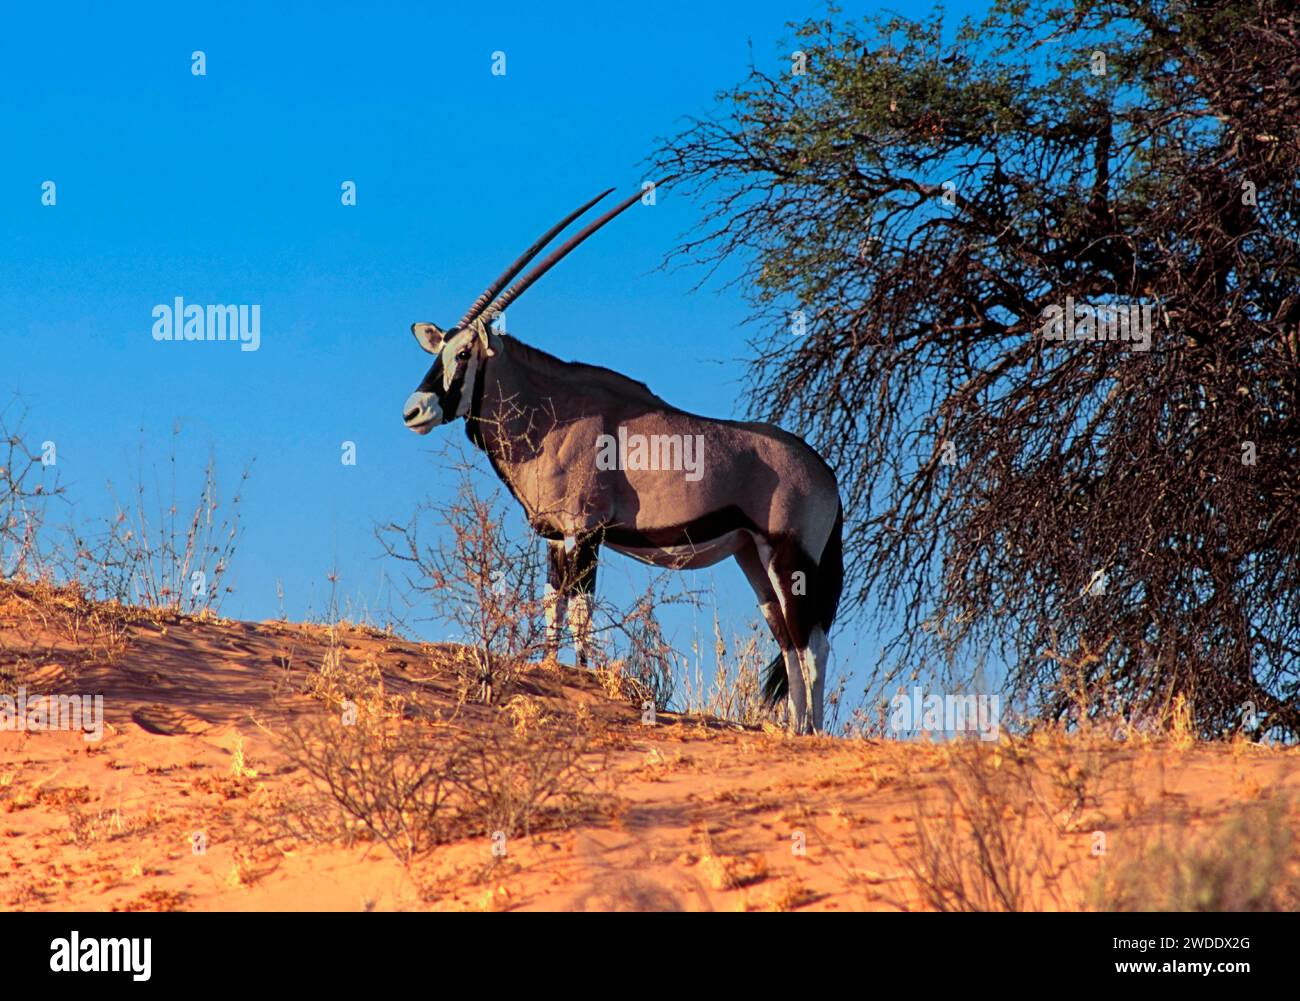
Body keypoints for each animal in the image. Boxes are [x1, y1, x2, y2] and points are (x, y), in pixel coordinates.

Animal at [401, 187, 843, 733]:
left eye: (464, 355)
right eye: (438, 351)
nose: (414, 410)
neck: (552, 411)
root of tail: (825, 473)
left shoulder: (587, 531)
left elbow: (582, 611)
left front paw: (584, 676)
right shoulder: (555, 535)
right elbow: (554, 607)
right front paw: (550, 668)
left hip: (791, 557)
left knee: (812, 646)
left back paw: (813, 733)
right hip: (752, 557)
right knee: (788, 643)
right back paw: (792, 730)